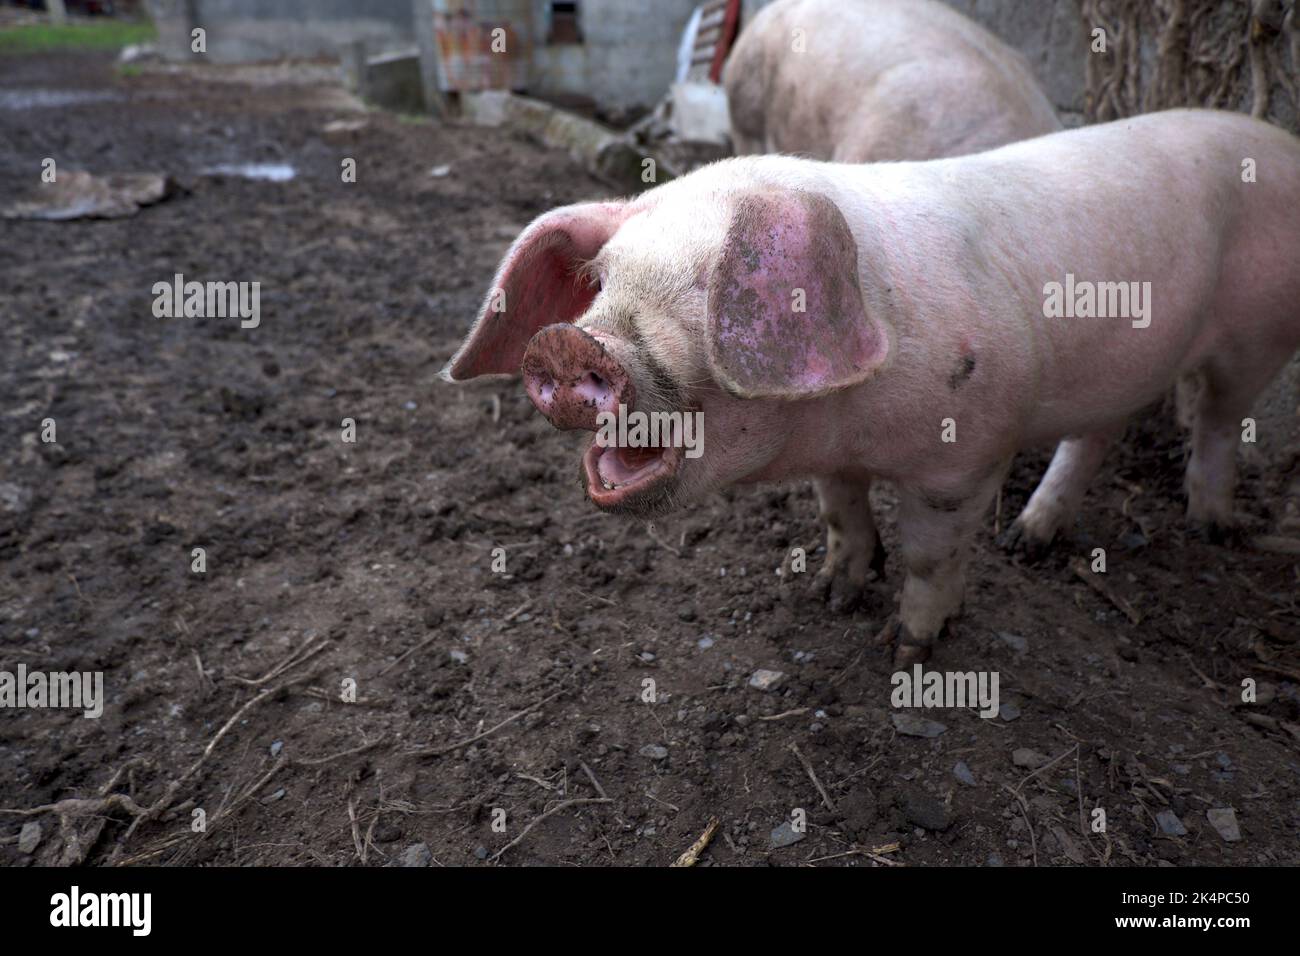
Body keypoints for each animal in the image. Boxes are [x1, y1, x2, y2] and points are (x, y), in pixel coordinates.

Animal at [442, 109, 1300, 665]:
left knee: (1219, 420)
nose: (566, 341)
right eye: (601, 279)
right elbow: (840, 515)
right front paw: (830, 594)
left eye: (711, 285)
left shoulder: (967, 455)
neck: (844, 424)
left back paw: (1212, 526)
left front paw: (907, 648)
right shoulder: (834, 458)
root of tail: (1282, 141)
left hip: (1258, 331)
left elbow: (928, 555)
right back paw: (1027, 540)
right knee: (1100, 431)